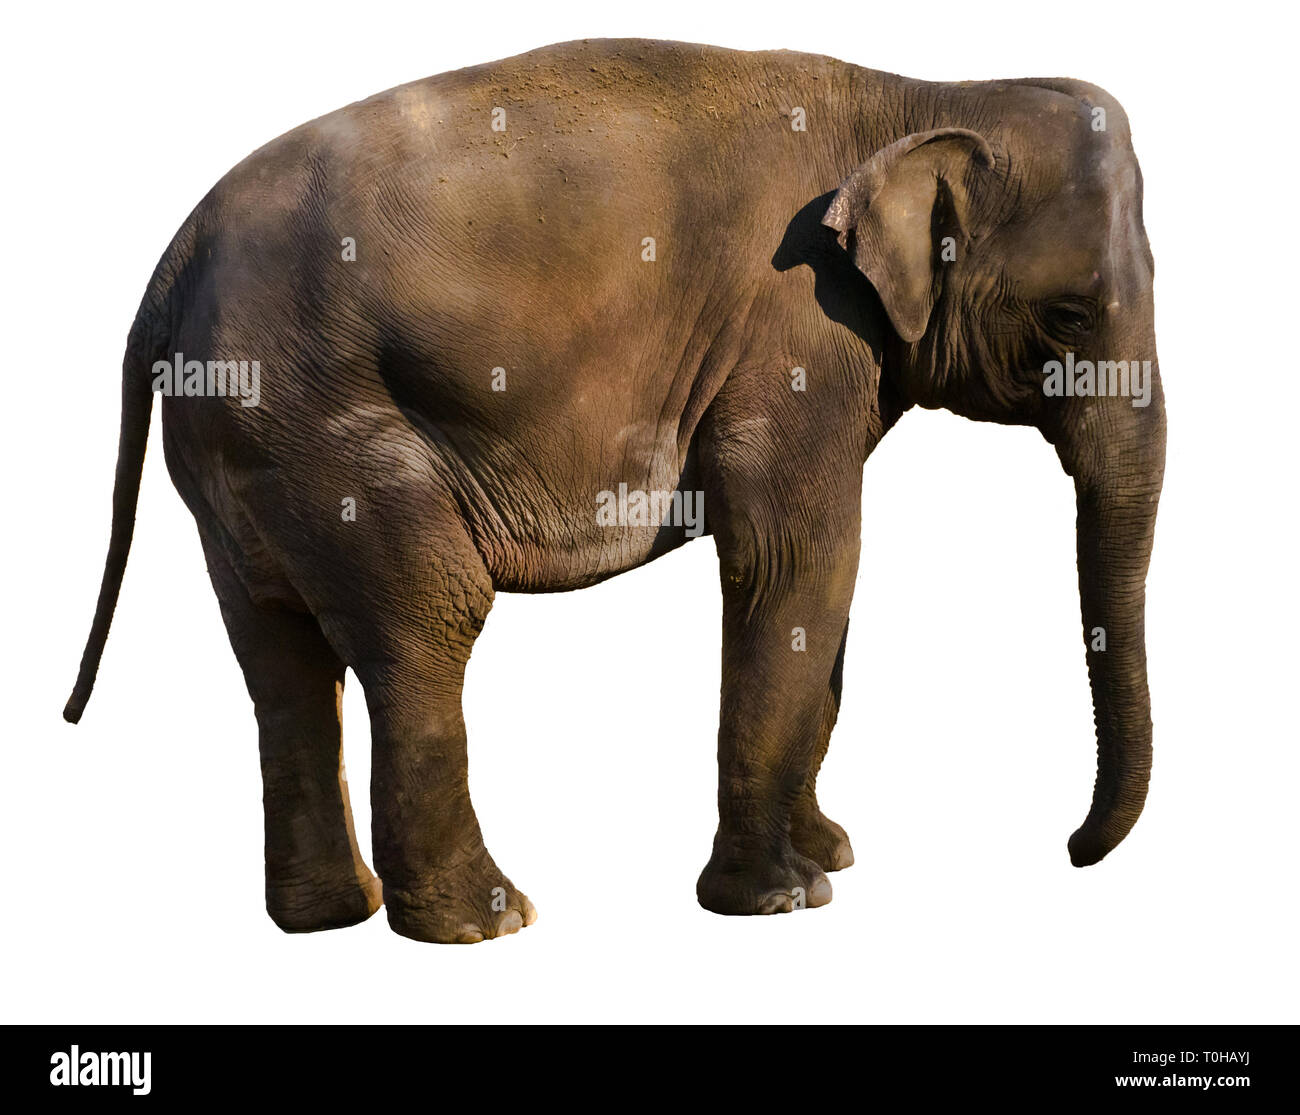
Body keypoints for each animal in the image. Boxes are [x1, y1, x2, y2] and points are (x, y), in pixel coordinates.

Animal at [65, 38, 1165, 943]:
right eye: (1070, 315)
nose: (1068, 849)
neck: (923, 94)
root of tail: (170, 265)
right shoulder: (795, 330)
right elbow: (798, 559)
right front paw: (781, 898)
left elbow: (825, 586)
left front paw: (831, 853)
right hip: (322, 425)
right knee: (427, 617)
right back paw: (485, 923)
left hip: (241, 450)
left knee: (278, 654)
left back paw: (328, 918)